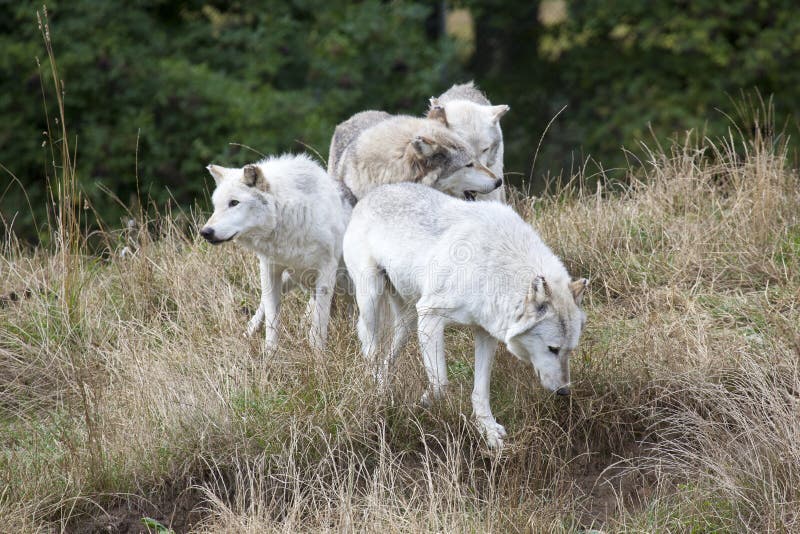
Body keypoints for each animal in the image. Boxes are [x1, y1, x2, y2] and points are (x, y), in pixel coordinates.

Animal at [200, 154, 351, 353]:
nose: (205, 232)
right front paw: (269, 354)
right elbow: (272, 321)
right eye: (216, 206)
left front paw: (318, 354)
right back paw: (247, 334)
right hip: (289, 279)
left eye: (234, 203)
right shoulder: (270, 269)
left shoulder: (326, 271)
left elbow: (319, 322)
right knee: (262, 308)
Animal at [343, 183, 588, 448]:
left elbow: (481, 390)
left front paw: (488, 431)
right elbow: (440, 383)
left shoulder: (485, 332)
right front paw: (425, 401)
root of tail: (371, 194)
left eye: (570, 350)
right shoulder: (430, 316)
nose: (564, 391)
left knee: (388, 357)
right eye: (552, 348)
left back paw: (384, 388)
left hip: (408, 322)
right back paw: (376, 392)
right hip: (372, 301)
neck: (492, 267)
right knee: (371, 349)